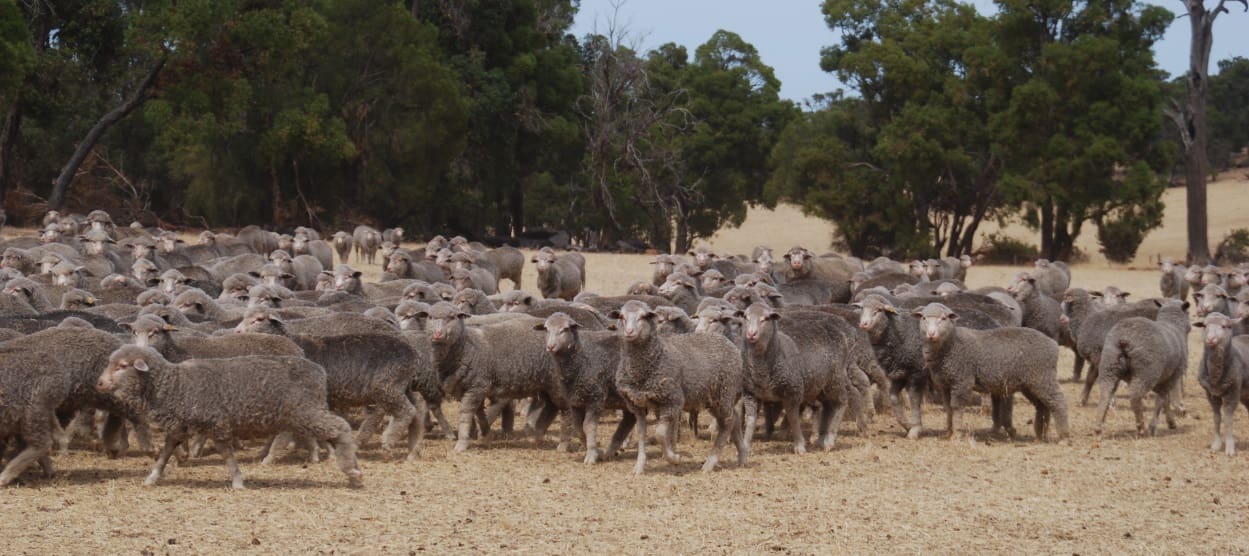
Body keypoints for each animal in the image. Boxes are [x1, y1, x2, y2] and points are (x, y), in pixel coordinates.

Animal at [95, 345, 362, 489]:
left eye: (122, 366)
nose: (99, 383)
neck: (175, 385)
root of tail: (319, 371)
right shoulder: (180, 425)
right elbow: (167, 450)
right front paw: (153, 476)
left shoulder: (217, 422)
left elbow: (226, 453)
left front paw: (237, 481)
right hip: (305, 413)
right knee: (335, 433)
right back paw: (353, 467)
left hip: (307, 411)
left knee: (341, 428)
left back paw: (352, 471)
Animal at [534, 312, 636, 464]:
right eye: (546, 329)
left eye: (565, 329)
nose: (550, 346)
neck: (581, 362)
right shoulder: (575, 402)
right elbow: (578, 428)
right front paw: (596, 451)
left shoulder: (595, 400)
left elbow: (588, 427)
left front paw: (591, 455)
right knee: (629, 420)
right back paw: (610, 452)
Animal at [610, 300, 747, 474]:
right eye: (621, 317)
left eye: (643, 316)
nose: (629, 332)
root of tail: (729, 343)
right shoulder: (637, 405)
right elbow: (642, 435)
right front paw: (639, 466)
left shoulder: (672, 401)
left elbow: (660, 434)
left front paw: (673, 457)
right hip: (716, 398)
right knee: (734, 417)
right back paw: (742, 455)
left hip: (725, 392)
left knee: (727, 423)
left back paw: (710, 463)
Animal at [911, 302, 1069, 441]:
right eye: (923, 318)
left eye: (944, 318)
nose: (931, 334)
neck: (952, 344)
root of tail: (1053, 345)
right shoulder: (944, 384)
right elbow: (948, 407)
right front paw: (948, 432)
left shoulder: (962, 380)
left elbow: (956, 407)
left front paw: (956, 434)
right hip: (1031, 383)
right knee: (1043, 405)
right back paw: (1040, 435)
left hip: (1043, 376)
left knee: (1058, 401)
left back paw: (1063, 436)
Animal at [1093, 300, 1190, 437]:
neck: (1173, 325)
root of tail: (1124, 338)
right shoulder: (1172, 377)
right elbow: (1161, 400)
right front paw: (1154, 426)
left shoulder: (1163, 379)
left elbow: (1165, 400)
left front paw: (1171, 422)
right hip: (1145, 372)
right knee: (1135, 397)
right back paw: (1141, 428)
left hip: (1109, 365)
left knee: (1105, 393)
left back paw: (1098, 427)